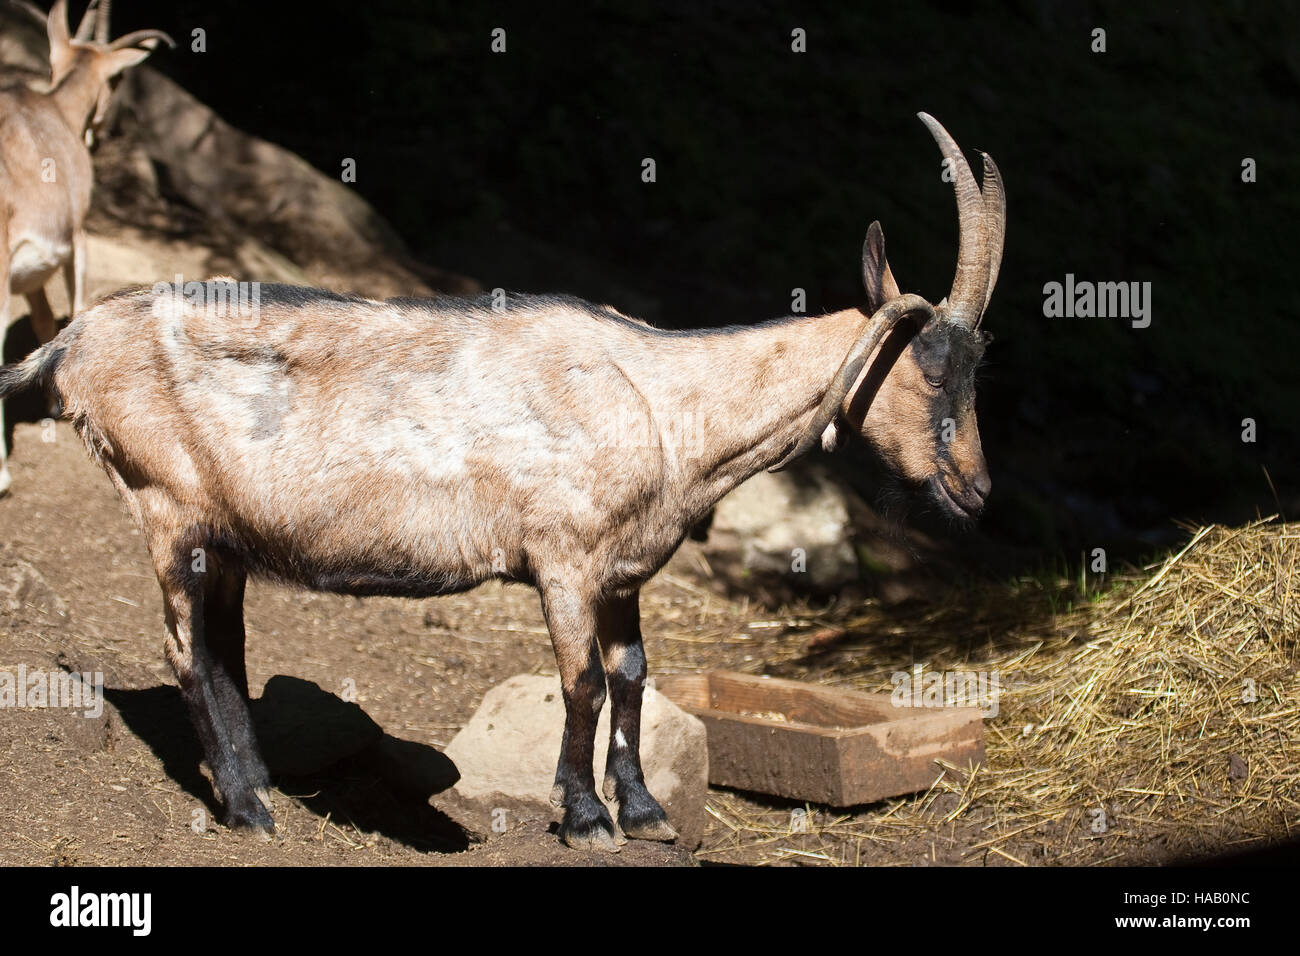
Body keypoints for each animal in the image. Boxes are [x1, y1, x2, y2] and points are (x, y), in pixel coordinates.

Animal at [0, 113, 1005, 850]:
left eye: (977, 363)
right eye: (930, 369)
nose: (978, 492)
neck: (664, 401)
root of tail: (69, 345)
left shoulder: (623, 571)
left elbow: (634, 674)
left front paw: (645, 812)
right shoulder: (561, 557)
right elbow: (584, 682)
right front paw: (587, 818)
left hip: (224, 532)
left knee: (222, 651)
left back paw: (256, 791)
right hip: (164, 506)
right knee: (182, 652)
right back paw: (245, 810)